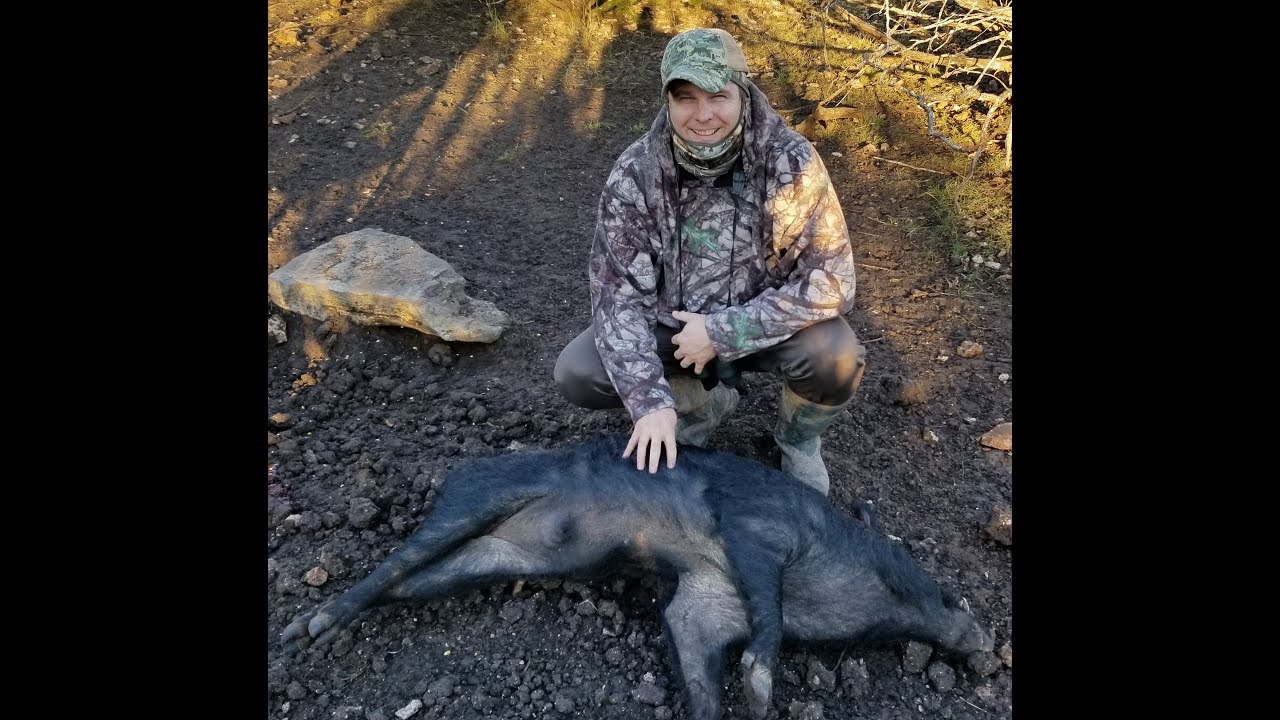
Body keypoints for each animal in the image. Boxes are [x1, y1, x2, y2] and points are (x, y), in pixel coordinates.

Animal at [280, 433, 994, 720]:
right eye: (936, 585)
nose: (986, 640)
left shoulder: (705, 605)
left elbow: (697, 664)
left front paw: (741, 701)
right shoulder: (756, 531)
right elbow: (768, 615)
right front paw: (762, 691)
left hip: (497, 558)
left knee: (415, 582)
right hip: (477, 498)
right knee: (394, 562)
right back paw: (304, 630)